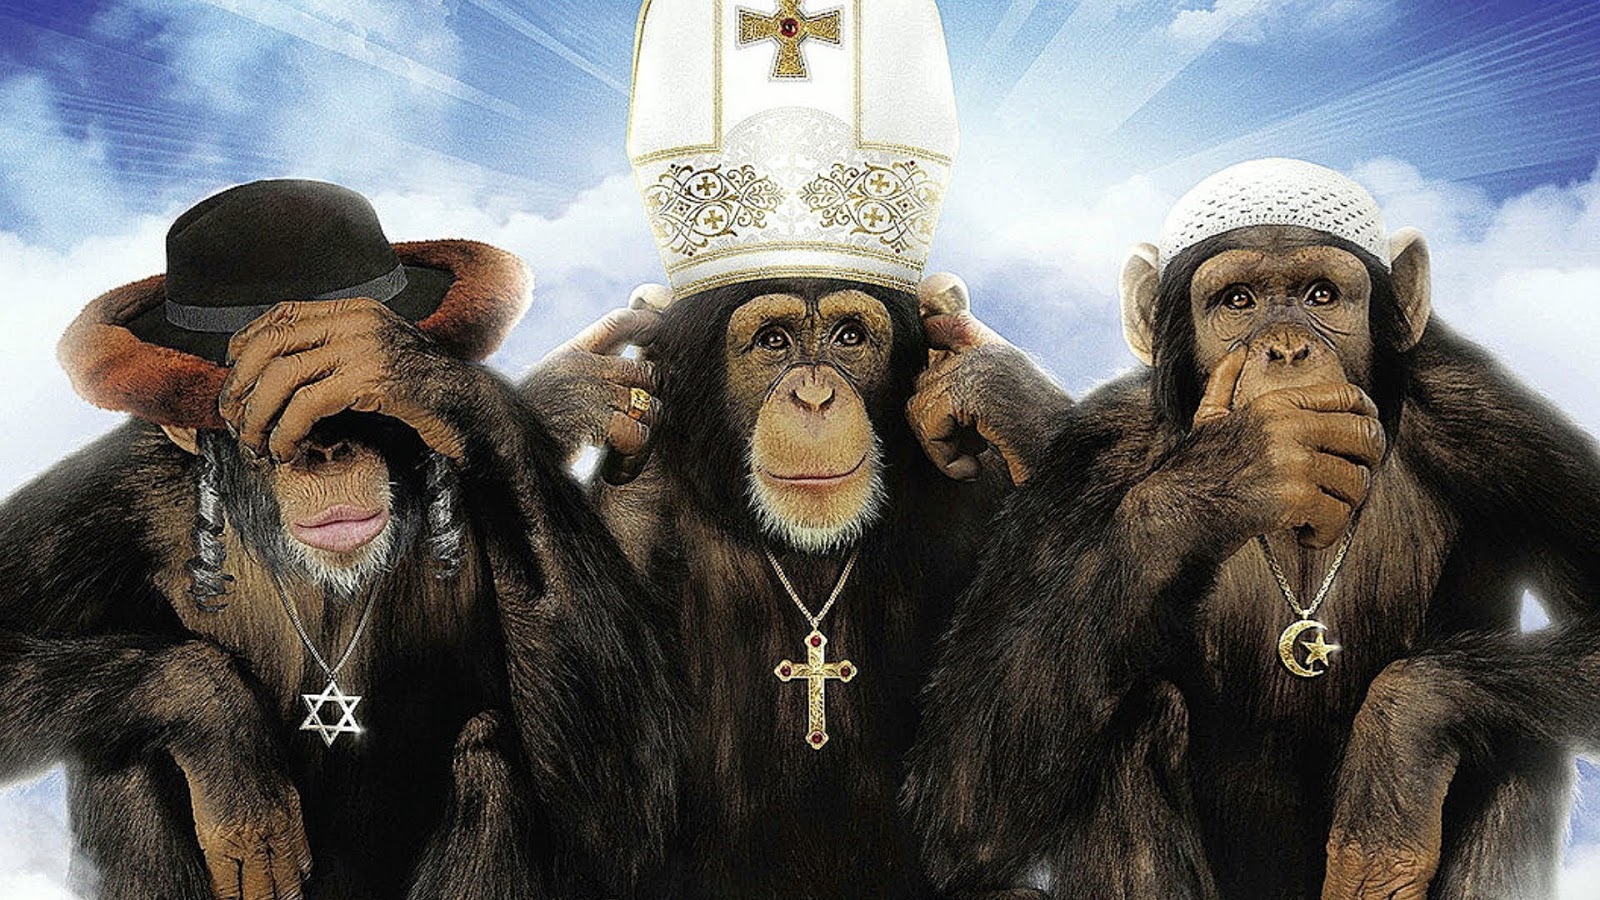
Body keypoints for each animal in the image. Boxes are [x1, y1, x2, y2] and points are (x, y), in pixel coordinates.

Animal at [904, 160, 1600, 900]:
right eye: (1237, 300)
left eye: (1321, 294)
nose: (1287, 349)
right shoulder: (1084, 466)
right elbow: (959, 796)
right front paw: (1249, 461)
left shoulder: (1493, 422)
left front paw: (1397, 748)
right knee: (1127, 714)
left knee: (1517, 734)